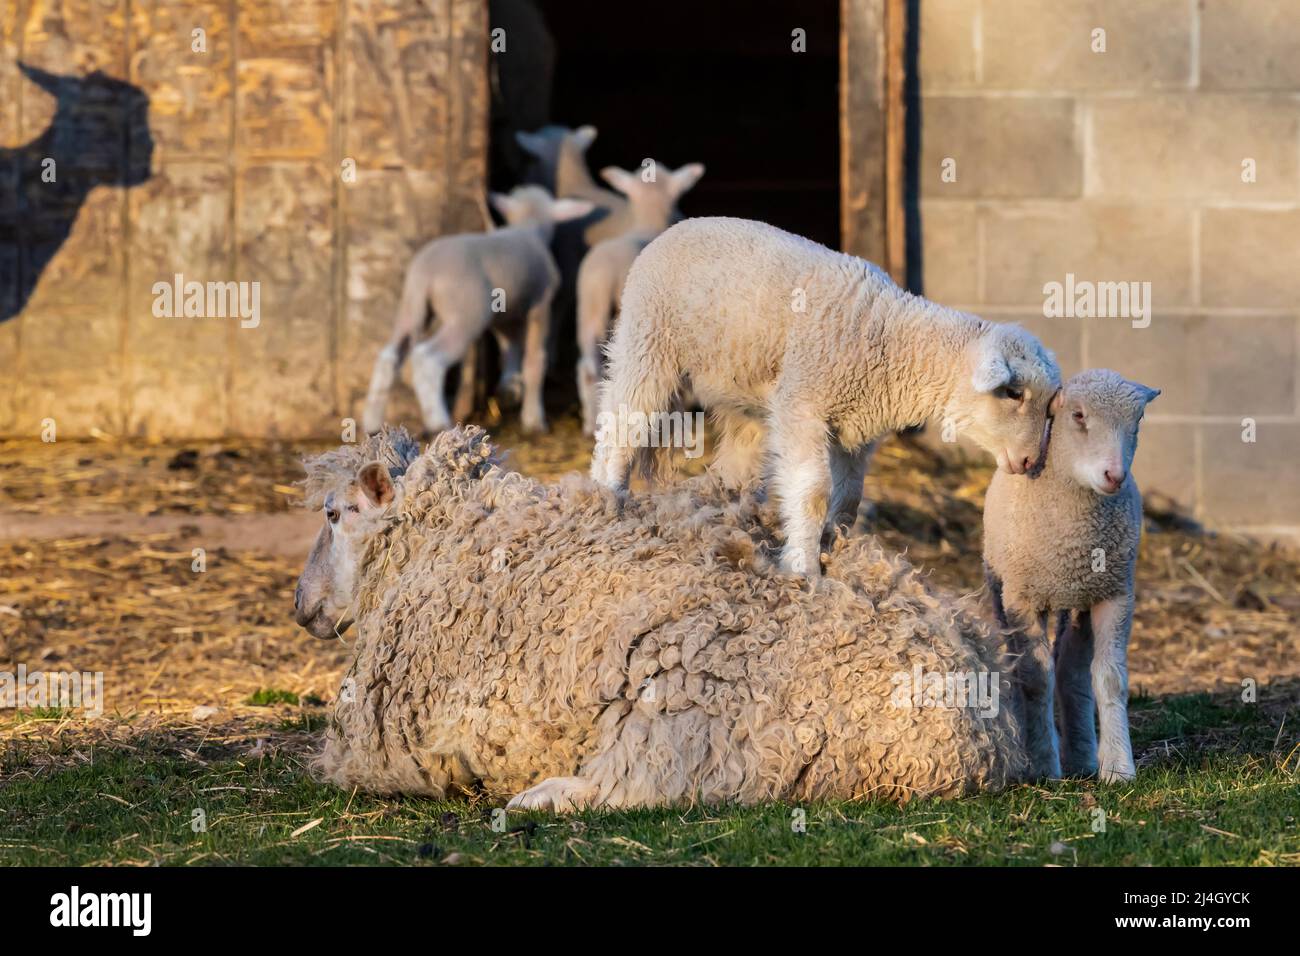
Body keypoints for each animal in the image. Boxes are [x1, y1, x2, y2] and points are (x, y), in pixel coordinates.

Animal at [293, 425, 1027, 810]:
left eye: (334, 514)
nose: (301, 607)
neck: (446, 532)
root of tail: (974, 748)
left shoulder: (392, 738)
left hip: (686, 705)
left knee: (644, 786)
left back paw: (540, 795)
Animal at [361, 185, 594, 438]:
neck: (527, 228)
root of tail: (426, 272)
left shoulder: (504, 315)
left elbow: (510, 347)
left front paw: (510, 388)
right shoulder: (540, 305)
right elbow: (534, 360)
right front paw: (533, 419)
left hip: (411, 307)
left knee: (388, 357)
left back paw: (371, 423)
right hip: (466, 314)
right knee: (427, 358)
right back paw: (438, 421)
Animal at [591, 216, 1062, 578]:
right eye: (1013, 392)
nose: (1029, 462)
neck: (894, 338)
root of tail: (677, 227)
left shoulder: (857, 428)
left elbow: (849, 497)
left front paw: (833, 542)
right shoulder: (804, 403)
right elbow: (813, 490)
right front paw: (802, 568)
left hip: (745, 397)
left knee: (731, 465)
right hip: (649, 341)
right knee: (621, 419)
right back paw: (605, 494)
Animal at [983, 369, 1160, 783]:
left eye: (1138, 419)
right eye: (1078, 415)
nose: (1114, 475)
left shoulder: (1115, 594)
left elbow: (1109, 679)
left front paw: (1119, 768)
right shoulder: (1022, 597)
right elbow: (1036, 678)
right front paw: (1042, 766)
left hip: (1081, 600)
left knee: (1072, 670)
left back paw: (1081, 758)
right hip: (1001, 586)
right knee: (1027, 667)